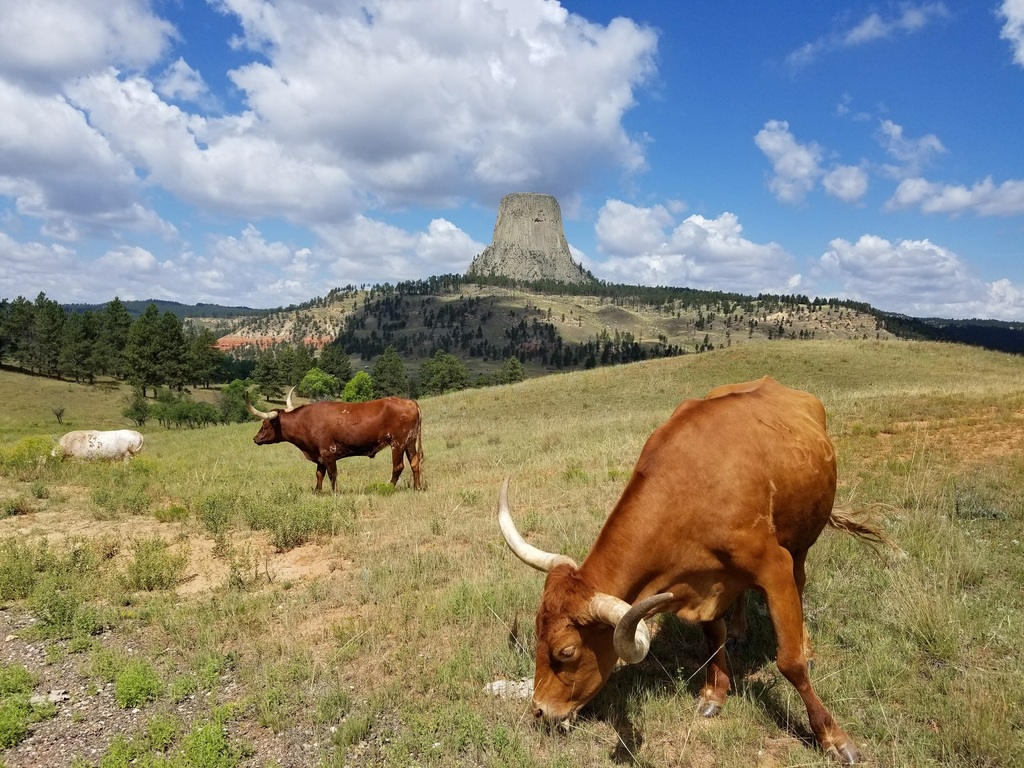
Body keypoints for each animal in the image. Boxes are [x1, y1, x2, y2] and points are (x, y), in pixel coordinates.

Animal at [245, 388, 424, 492]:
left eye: (265, 424)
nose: (255, 438)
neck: (306, 421)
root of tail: (410, 402)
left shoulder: (328, 453)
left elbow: (332, 474)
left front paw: (335, 492)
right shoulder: (320, 456)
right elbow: (319, 474)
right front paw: (317, 492)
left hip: (398, 443)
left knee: (398, 467)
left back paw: (388, 487)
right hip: (410, 442)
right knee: (415, 463)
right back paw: (417, 488)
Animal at [498, 376, 887, 764]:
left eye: (566, 652)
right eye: (536, 634)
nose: (539, 711)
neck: (692, 487)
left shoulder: (773, 566)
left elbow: (789, 662)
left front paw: (832, 737)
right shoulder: (707, 580)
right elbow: (714, 636)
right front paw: (715, 693)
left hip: (801, 542)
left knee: (801, 584)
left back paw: (806, 643)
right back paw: (740, 629)